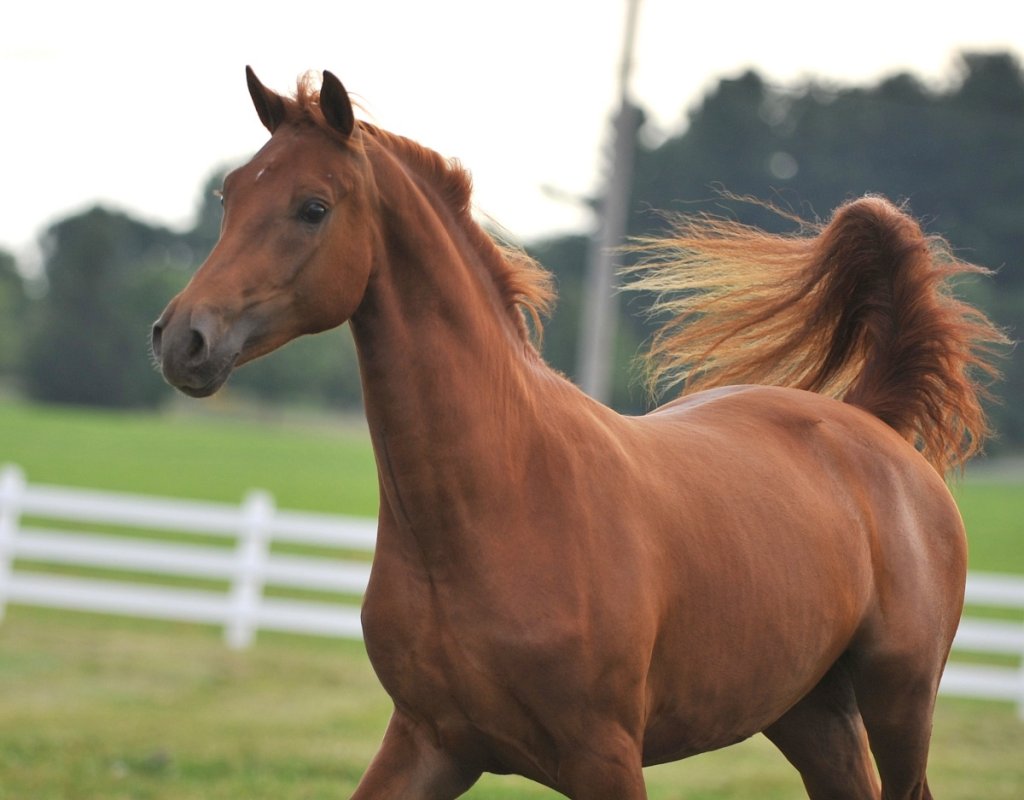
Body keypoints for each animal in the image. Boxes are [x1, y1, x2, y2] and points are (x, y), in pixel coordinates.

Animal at [152, 68, 1006, 799]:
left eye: (313, 207)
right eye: (230, 195)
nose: (180, 339)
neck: (501, 498)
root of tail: (866, 419)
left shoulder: (603, 757)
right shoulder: (430, 743)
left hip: (900, 699)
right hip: (810, 712)